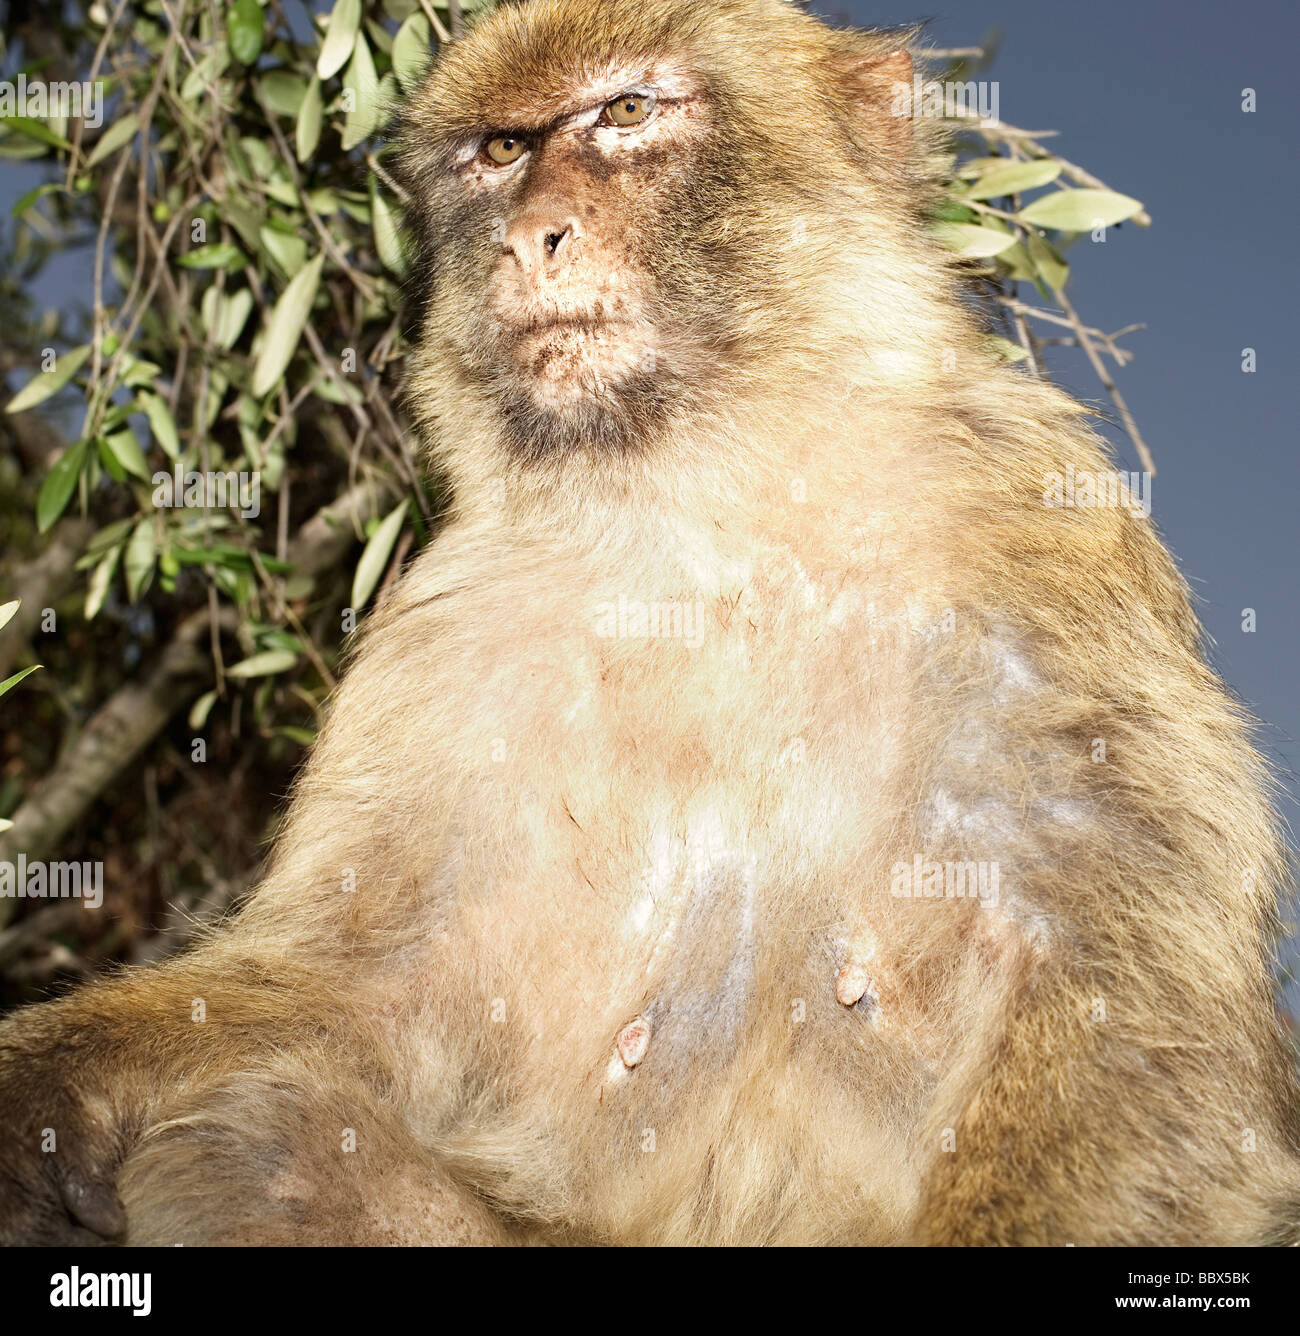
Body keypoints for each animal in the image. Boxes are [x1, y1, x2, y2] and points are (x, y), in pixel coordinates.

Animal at [1, 0, 1298, 1246]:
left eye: (625, 112)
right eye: (500, 150)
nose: (530, 234)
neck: (708, 515)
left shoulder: (1039, 536)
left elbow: (1133, 1017)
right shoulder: (444, 628)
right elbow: (351, 994)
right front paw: (36, 1106)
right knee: (258, 1141)